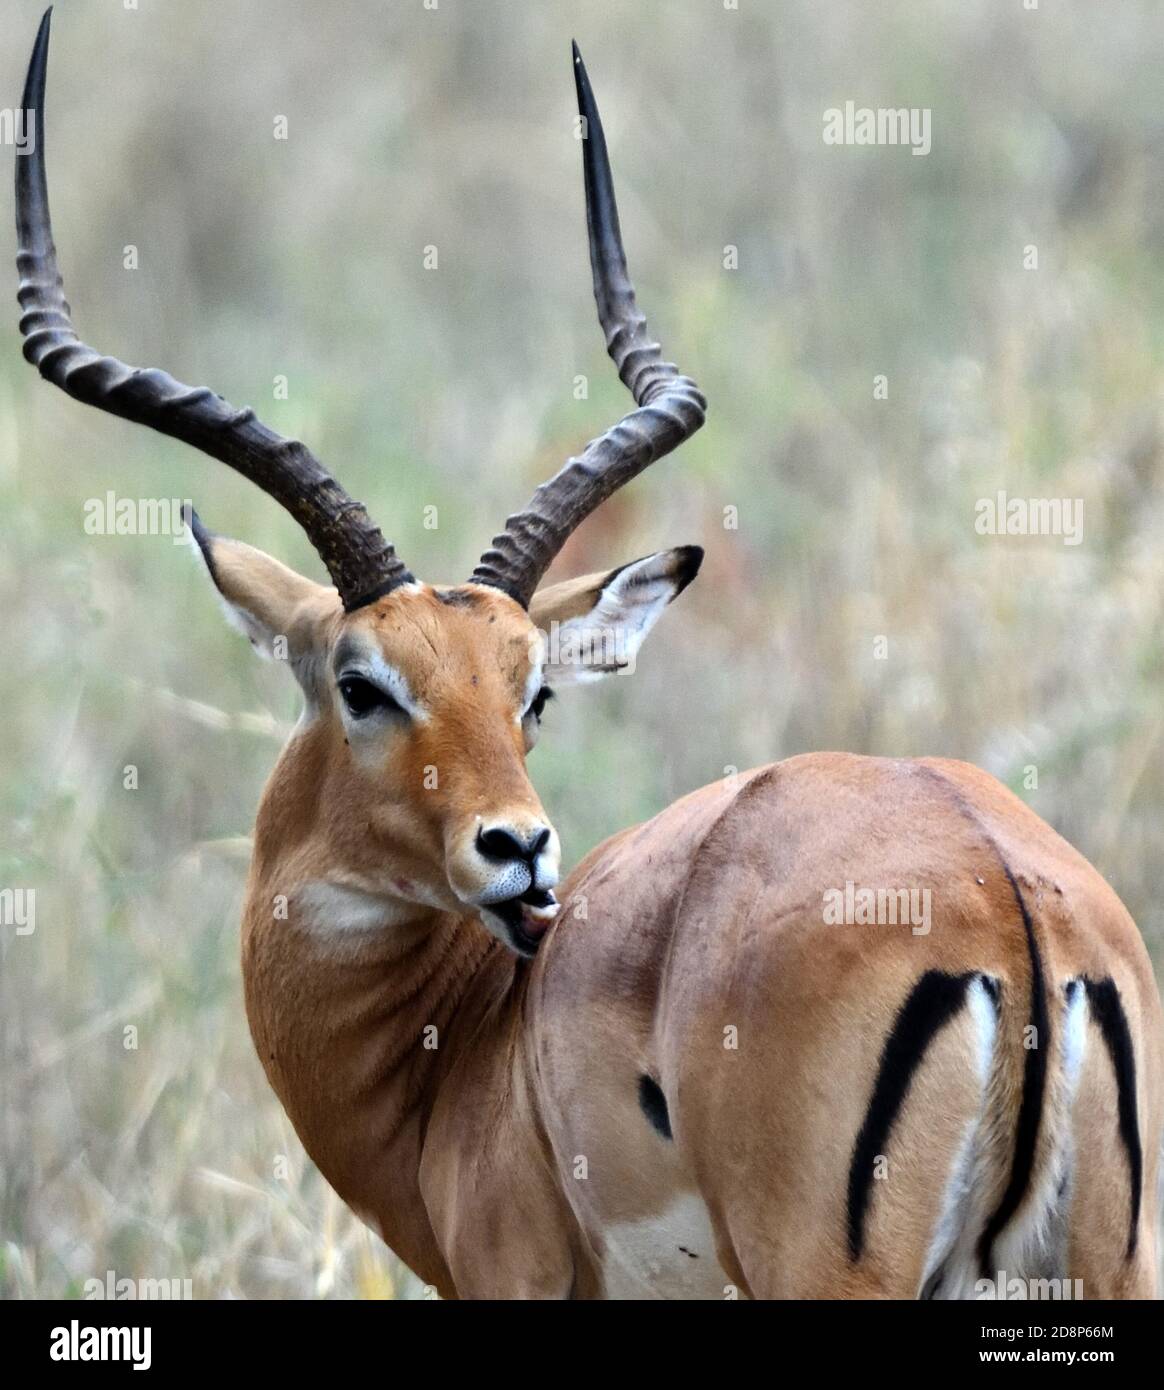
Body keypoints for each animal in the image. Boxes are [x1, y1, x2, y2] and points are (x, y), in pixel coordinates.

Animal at [16, 9, 1163, 1300]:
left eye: (533, 694)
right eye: (364, 685)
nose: (519, 850)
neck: (474, 1038)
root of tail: (1009, 901)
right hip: (1113, 1261)